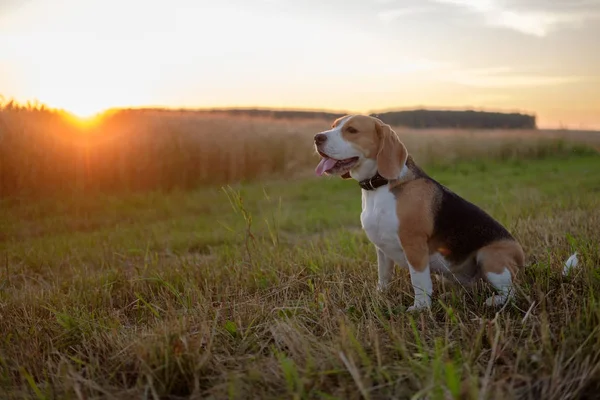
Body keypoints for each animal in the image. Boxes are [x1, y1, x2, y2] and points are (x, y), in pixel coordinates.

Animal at [314, 114, 524, 310]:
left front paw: (420, 308)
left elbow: (419, 280)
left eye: (352, 130)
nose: (317, 137)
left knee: (512, 293)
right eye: (333, 126)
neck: (379, 187)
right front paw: (380, 296)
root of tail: (522, 257)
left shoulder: (414, 245)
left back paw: (494, 301)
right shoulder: (381, 249)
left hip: (489, 257)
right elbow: (383, 277)